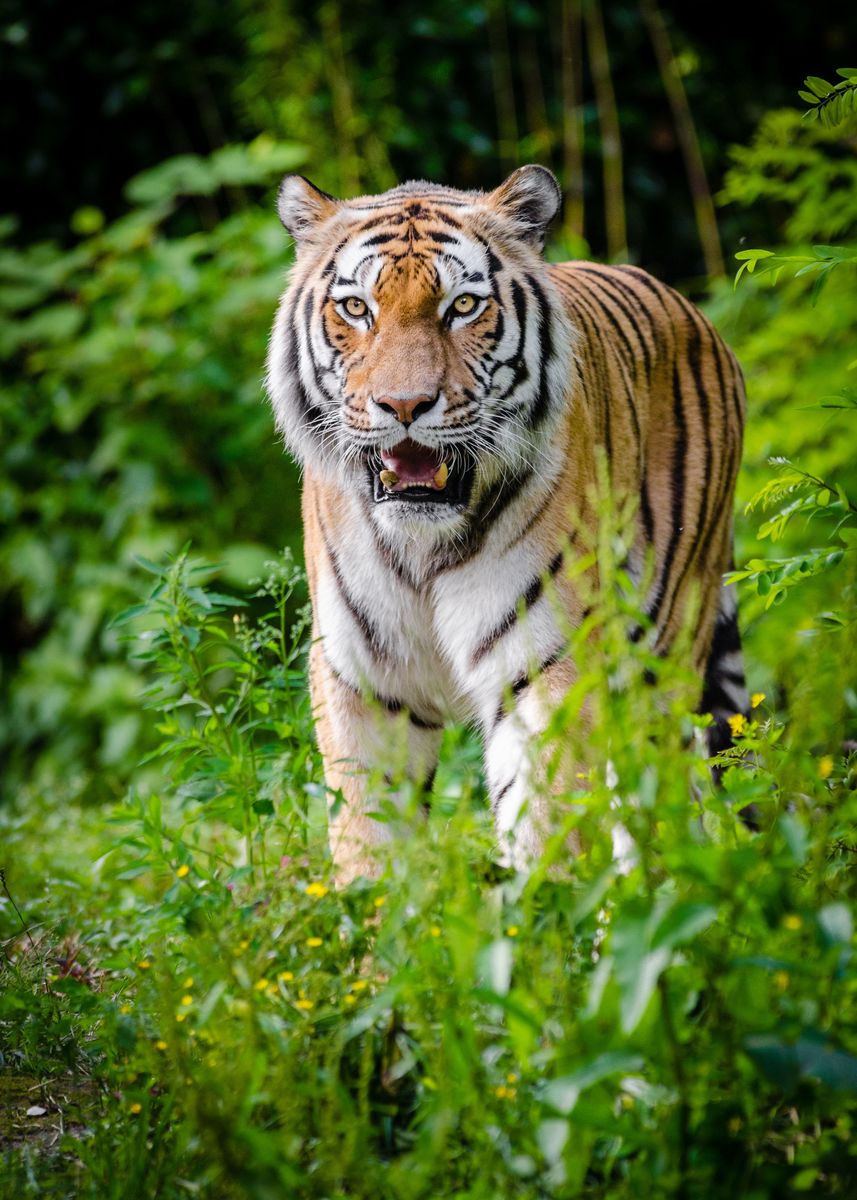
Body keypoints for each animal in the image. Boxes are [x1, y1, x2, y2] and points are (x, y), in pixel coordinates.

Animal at [266, 164, 748, 885]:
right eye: (356, 309)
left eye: (463, 306)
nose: (403, 405)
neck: (422, 546)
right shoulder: (363, 680)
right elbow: (367, 840)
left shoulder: (542, 668)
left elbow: (546, 825)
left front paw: (543, 911)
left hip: (662, 654)